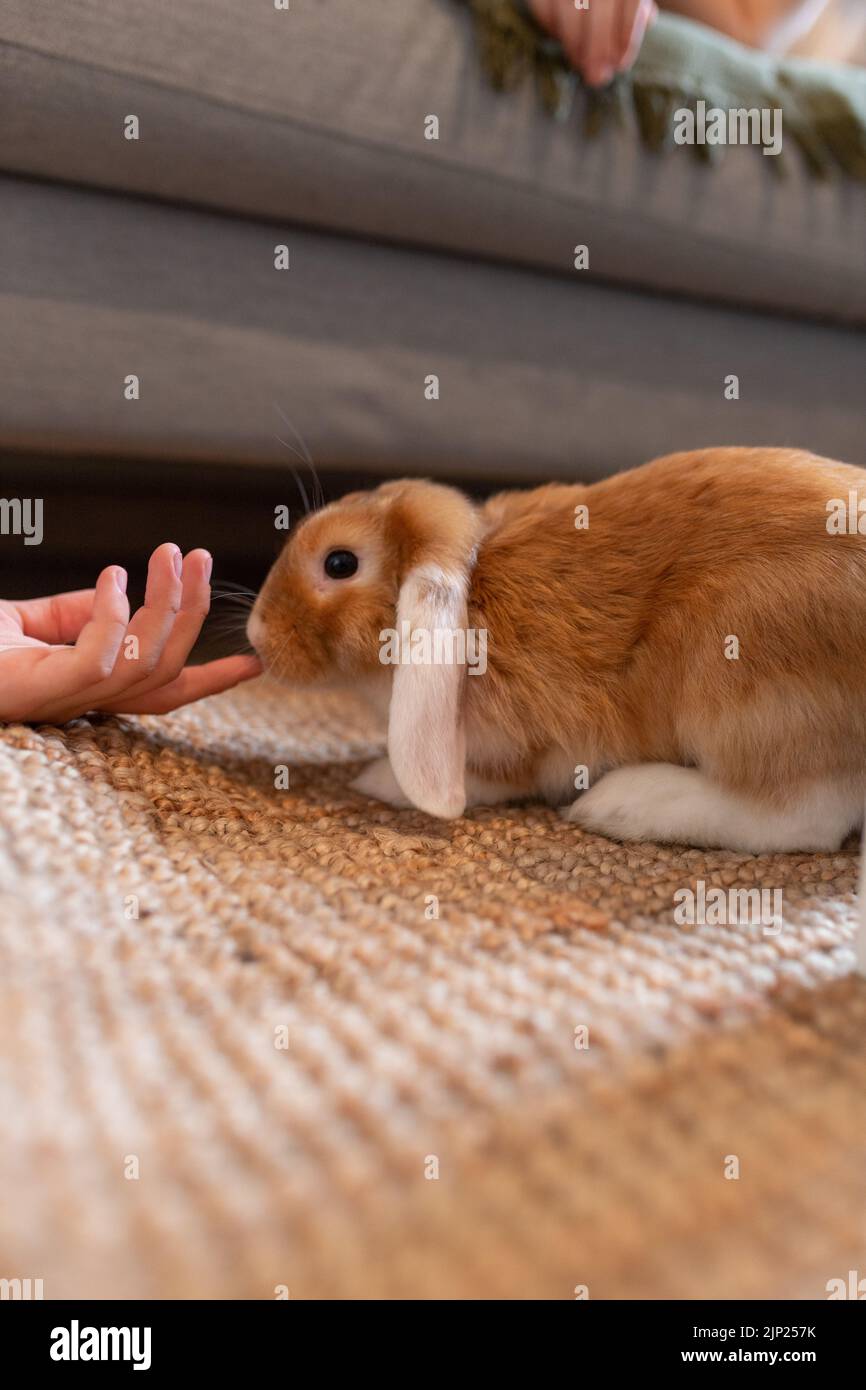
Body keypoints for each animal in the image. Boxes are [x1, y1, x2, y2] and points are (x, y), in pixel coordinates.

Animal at [246, 447, 866, 853]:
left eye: (340, 563)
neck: (476, 588)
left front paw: (381, 779)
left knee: (802, 815)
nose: (256, 634)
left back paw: (622, 805)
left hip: (743, 681)